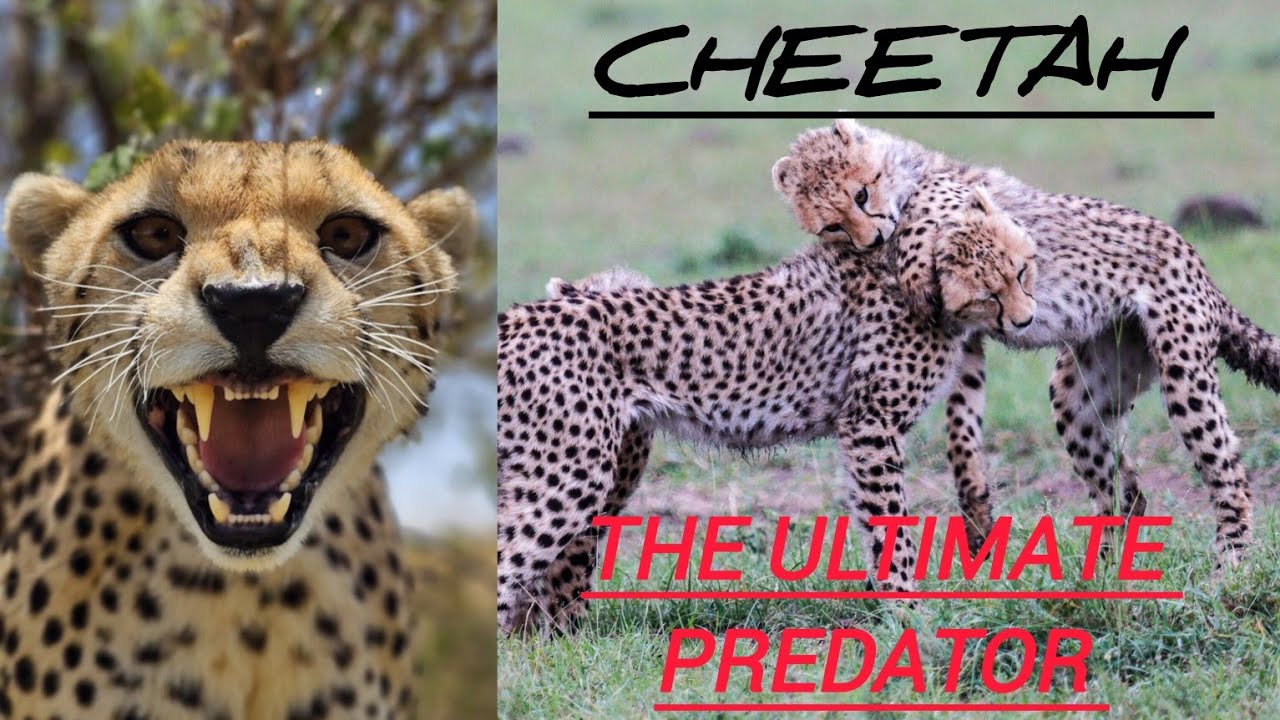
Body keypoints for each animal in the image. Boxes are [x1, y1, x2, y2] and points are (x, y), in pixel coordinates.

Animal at [496, 184, 1038, 634]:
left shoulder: (864, 433)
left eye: (1021, 271)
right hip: (568, 473)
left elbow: (871, 520)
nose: (1026, 319)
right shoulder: (871, 423)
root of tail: (516, 317)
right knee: (509, 558)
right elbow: (891, 524)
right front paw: (910, 615)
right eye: (989, 293)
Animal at [774, 118, 1280, 572]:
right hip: (1081, 395)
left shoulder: (966, 200)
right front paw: (977, 518)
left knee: (1228, 476)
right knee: (1125, 491)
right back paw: (1098, 575)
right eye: (833, 226)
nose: (871, 239)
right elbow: (961, 426)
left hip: (1183, 370)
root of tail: (1194, 258)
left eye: (861, 194)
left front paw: (914, 266)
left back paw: (1228, 567)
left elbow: (928, 214)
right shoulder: (967, 332)